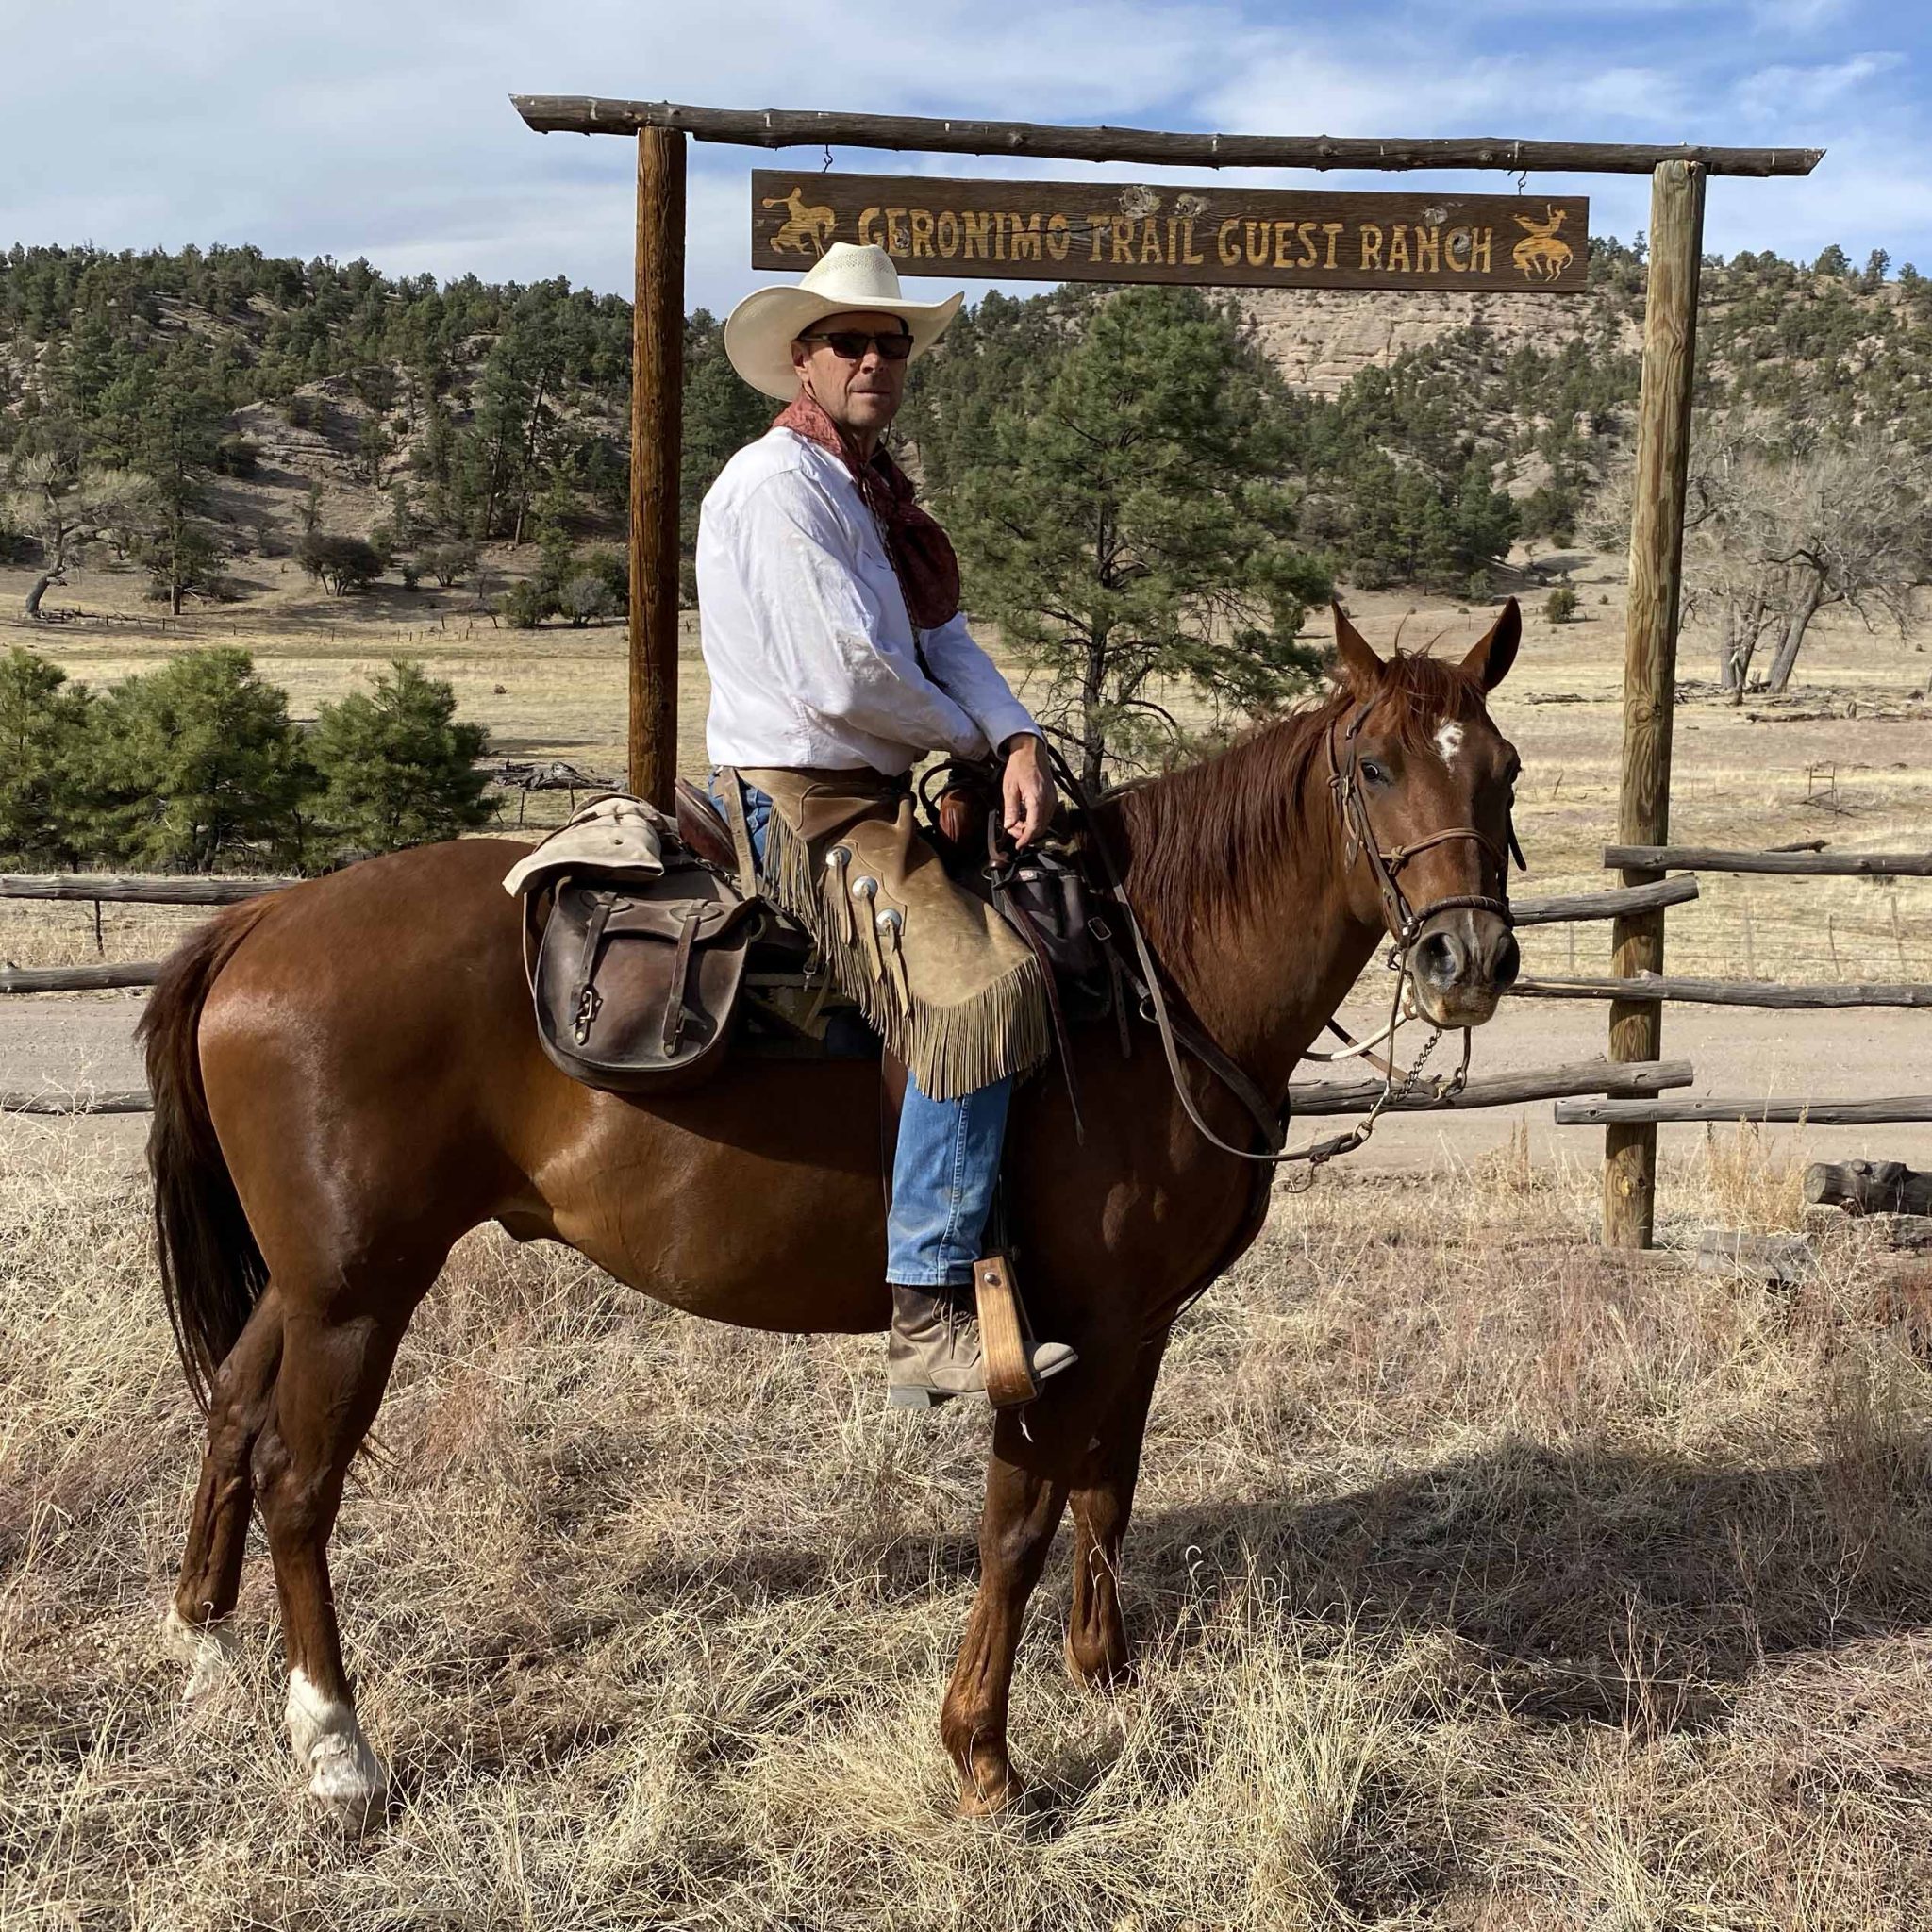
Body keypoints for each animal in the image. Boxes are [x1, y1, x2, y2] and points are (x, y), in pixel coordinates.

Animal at [146, 603, 1523, 1827]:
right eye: (1374, 766)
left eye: (1498, 771)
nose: (1468, 960)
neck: (1147, 985)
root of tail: (260, 919)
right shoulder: (1052, 1330)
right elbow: (1018, 1524)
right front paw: (983, 1759)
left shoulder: (1141, 1322)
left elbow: (1106, 1493)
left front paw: (1109, 1680)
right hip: (359, 1290)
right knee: (296, 1478)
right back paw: (338, 1751)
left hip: (308, 1281)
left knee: (233, 1417)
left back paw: (205, 1651)